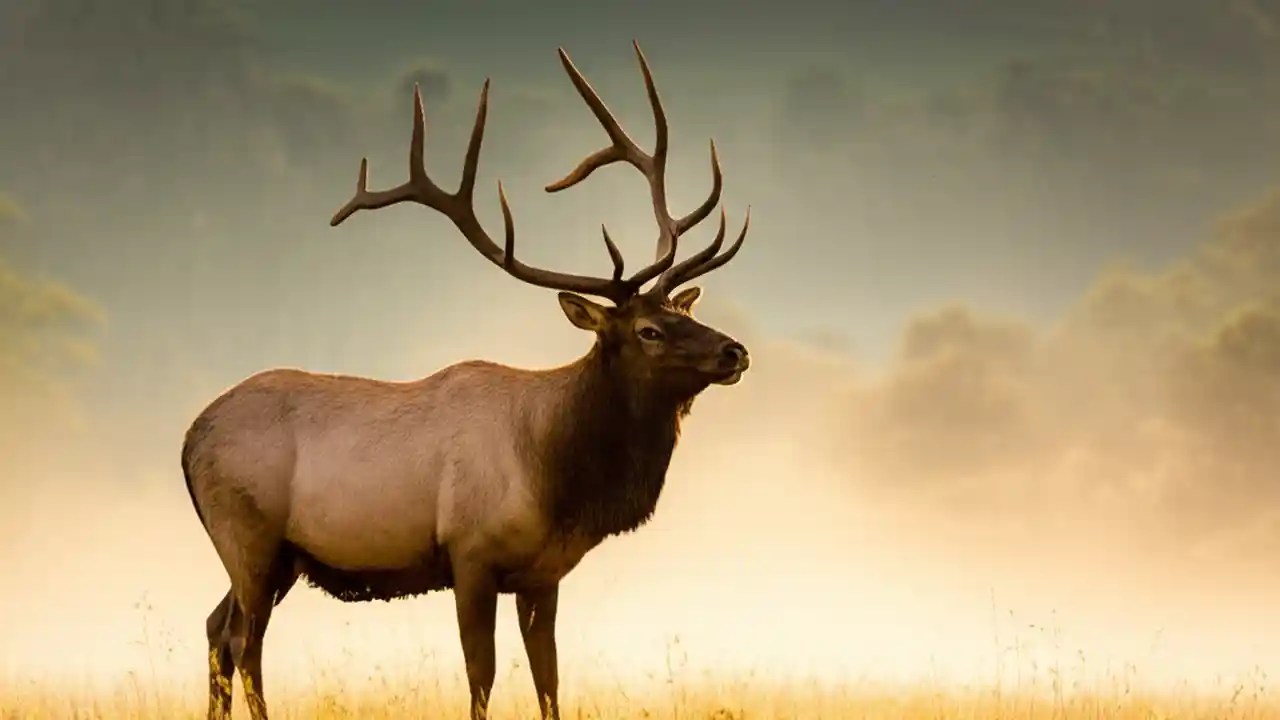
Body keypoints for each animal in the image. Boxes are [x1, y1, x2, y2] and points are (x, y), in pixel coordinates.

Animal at [182, 41, 750, 720]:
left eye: (684, 312)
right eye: (649, 331)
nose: (735, 351)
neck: (560, 475)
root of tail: (188, 439)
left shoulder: (543, 575)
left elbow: (549, 679)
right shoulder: (470, 556)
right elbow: (482, 675)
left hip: (281, 558)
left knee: (216, 629)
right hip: (249, 535)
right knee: (245, 641)